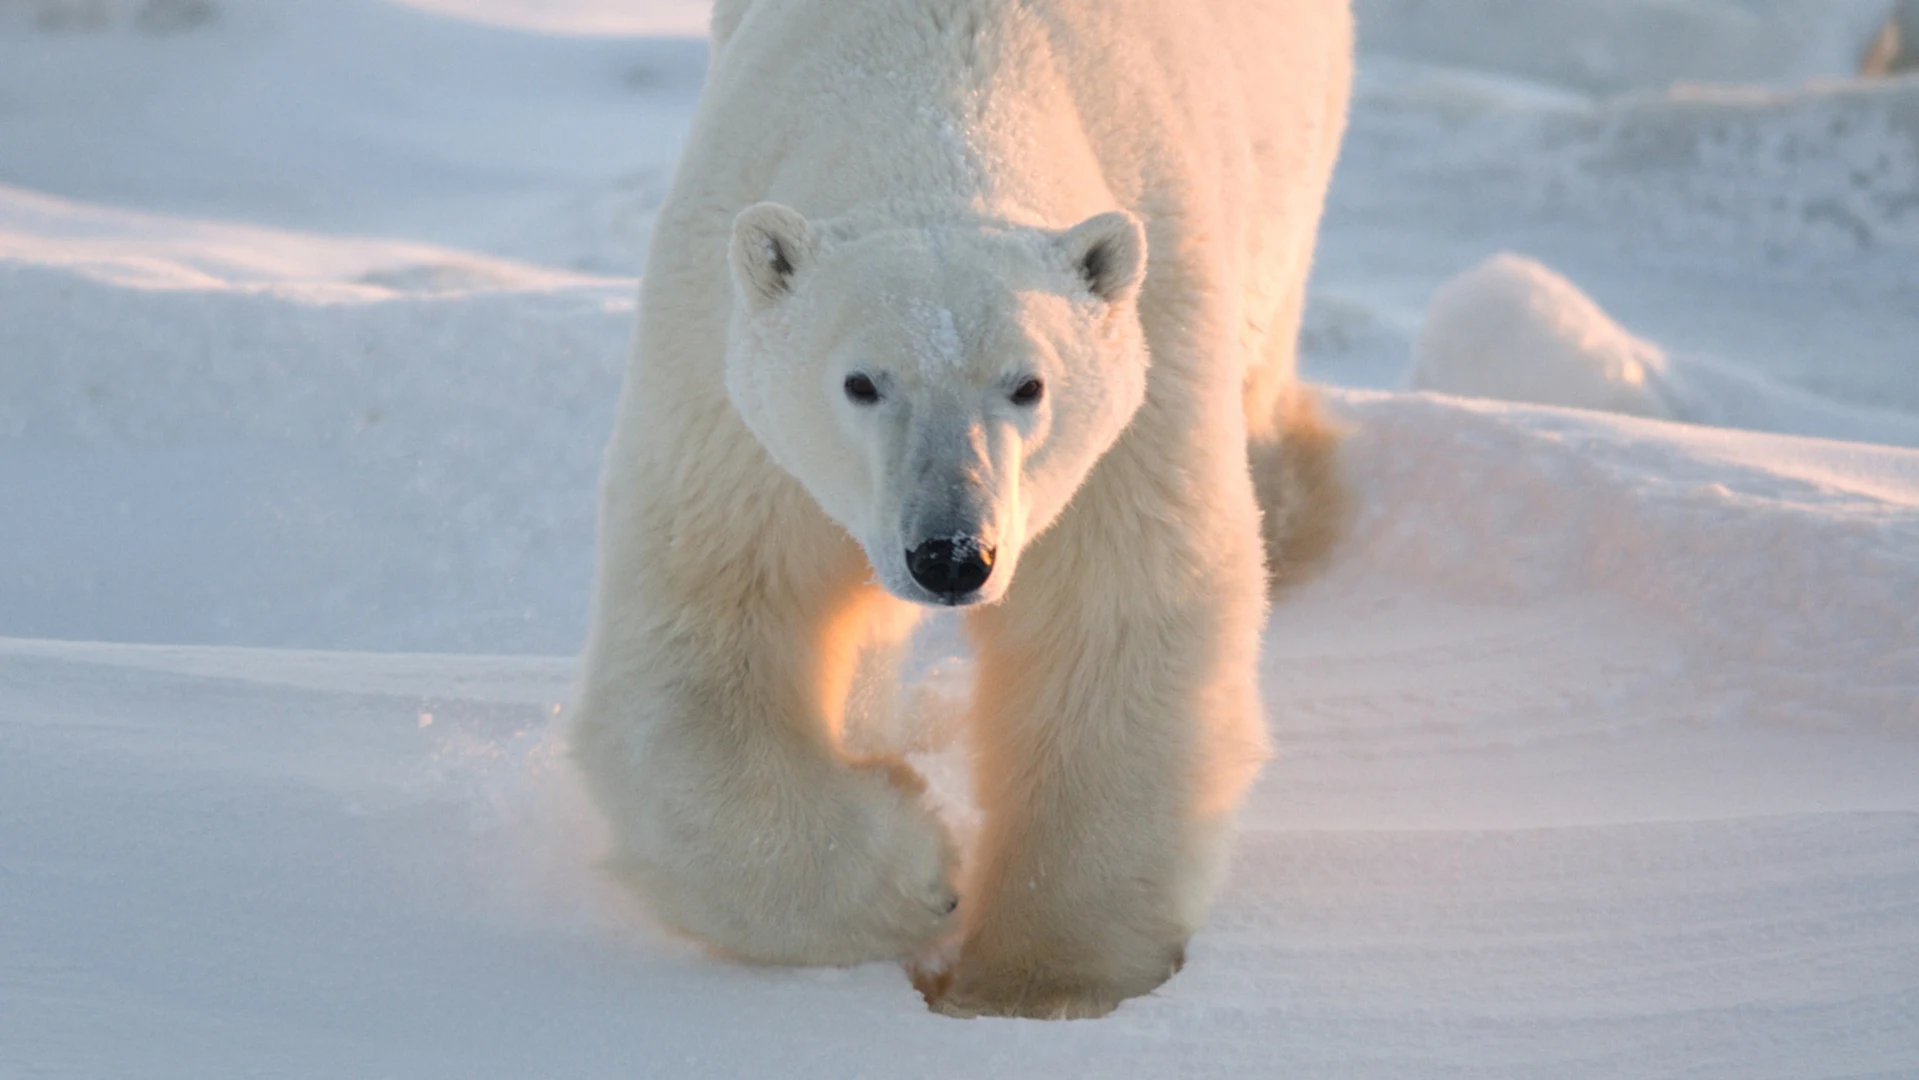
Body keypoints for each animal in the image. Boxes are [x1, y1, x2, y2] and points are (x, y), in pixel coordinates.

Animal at [570, 0, 1351, 1019]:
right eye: (861, 382)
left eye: (1028, 384)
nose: (949, 554)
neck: (946, 76)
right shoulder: (722, 379)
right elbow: (708, 629)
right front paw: (916, 873)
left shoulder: (1150, 355)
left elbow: (1112, 623)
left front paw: (1033, 984)